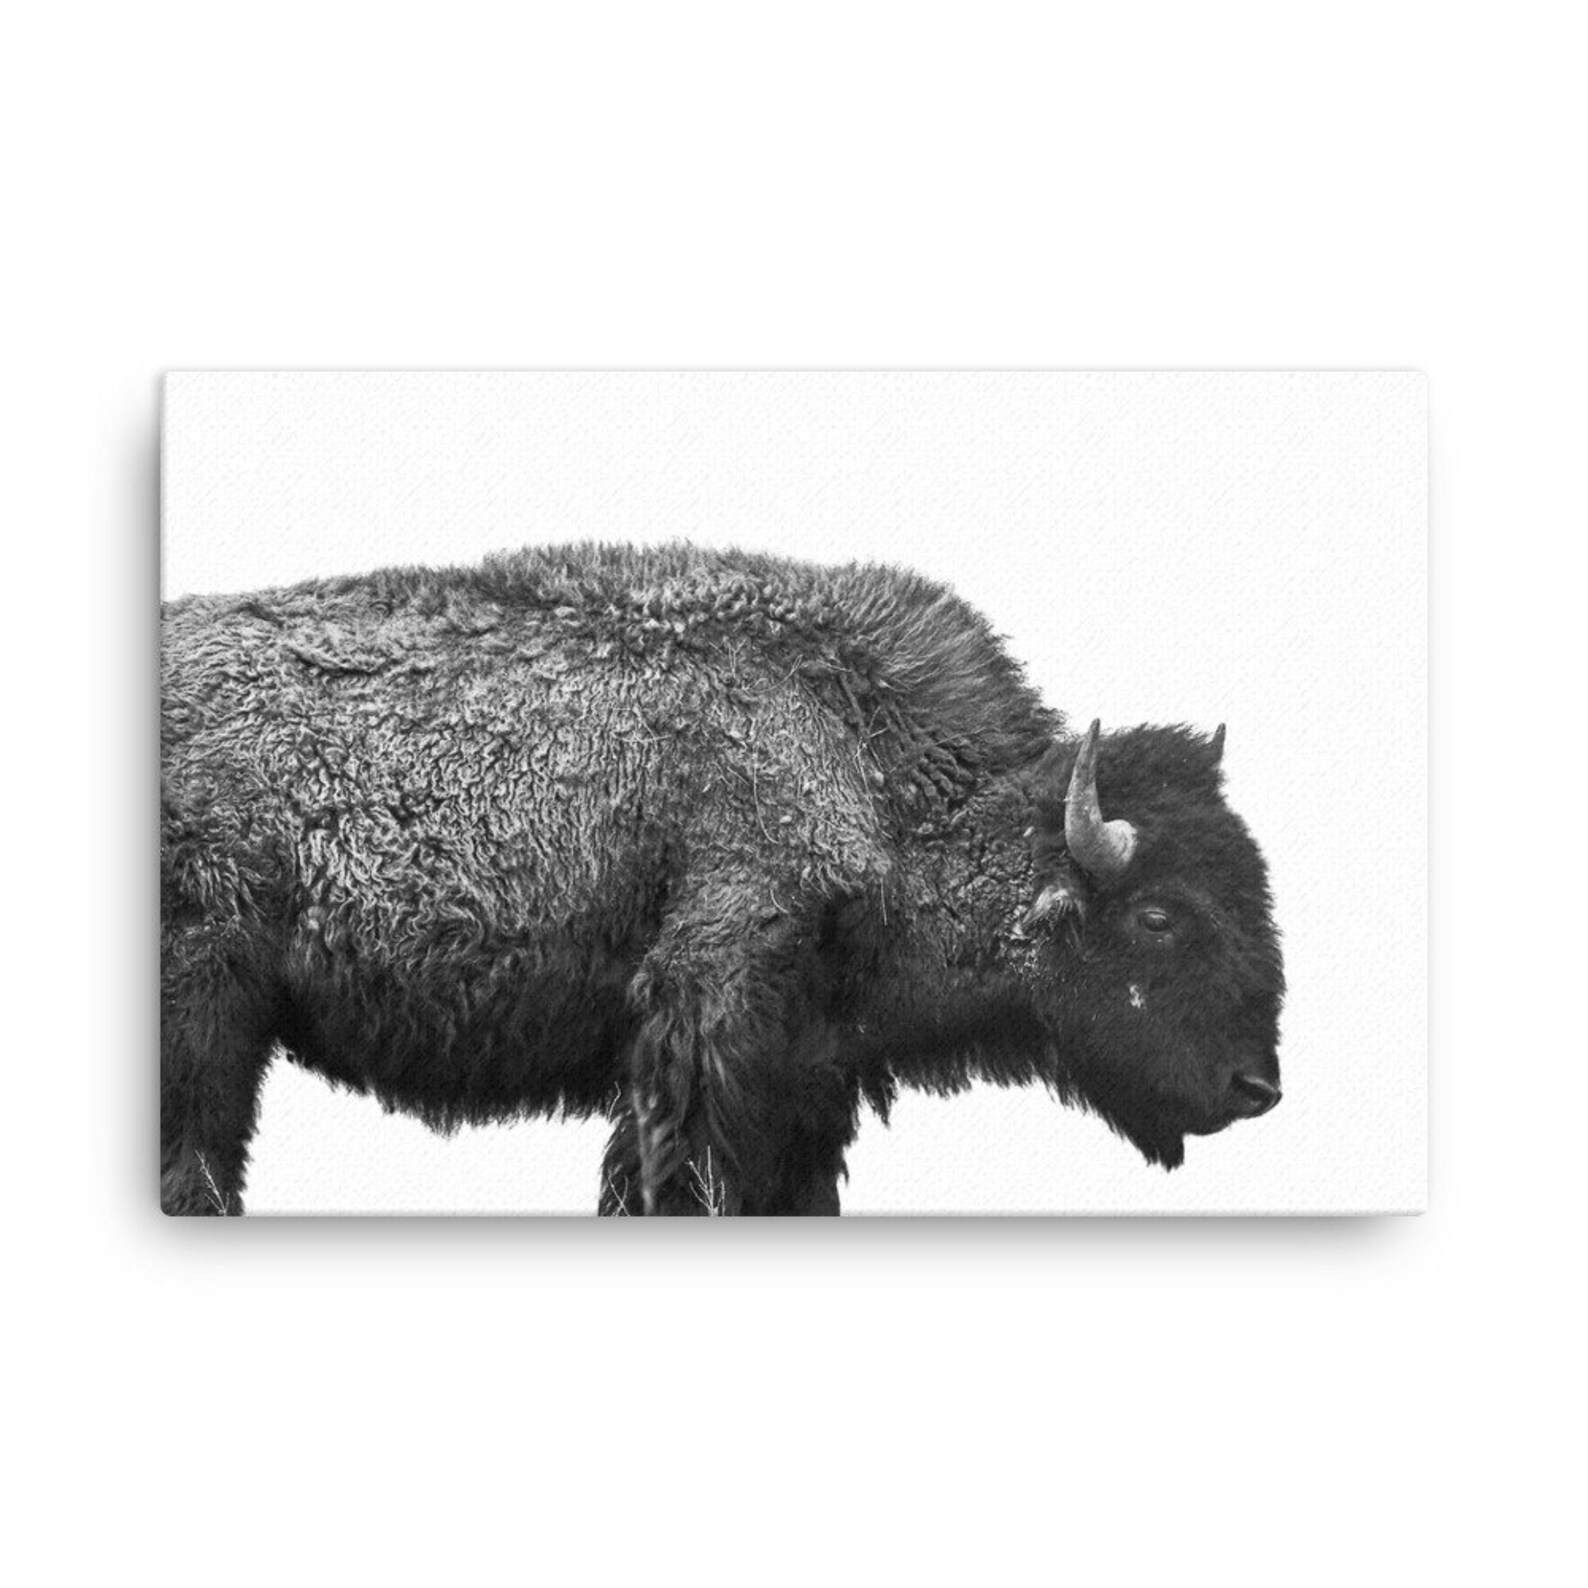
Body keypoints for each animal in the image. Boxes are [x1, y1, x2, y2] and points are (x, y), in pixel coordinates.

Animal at [160, 542, 1284, 1215]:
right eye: (1157, 915)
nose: (1257, 1087)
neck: (865, 763)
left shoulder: (809, 1082)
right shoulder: (706, 1021)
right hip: (207, 997)